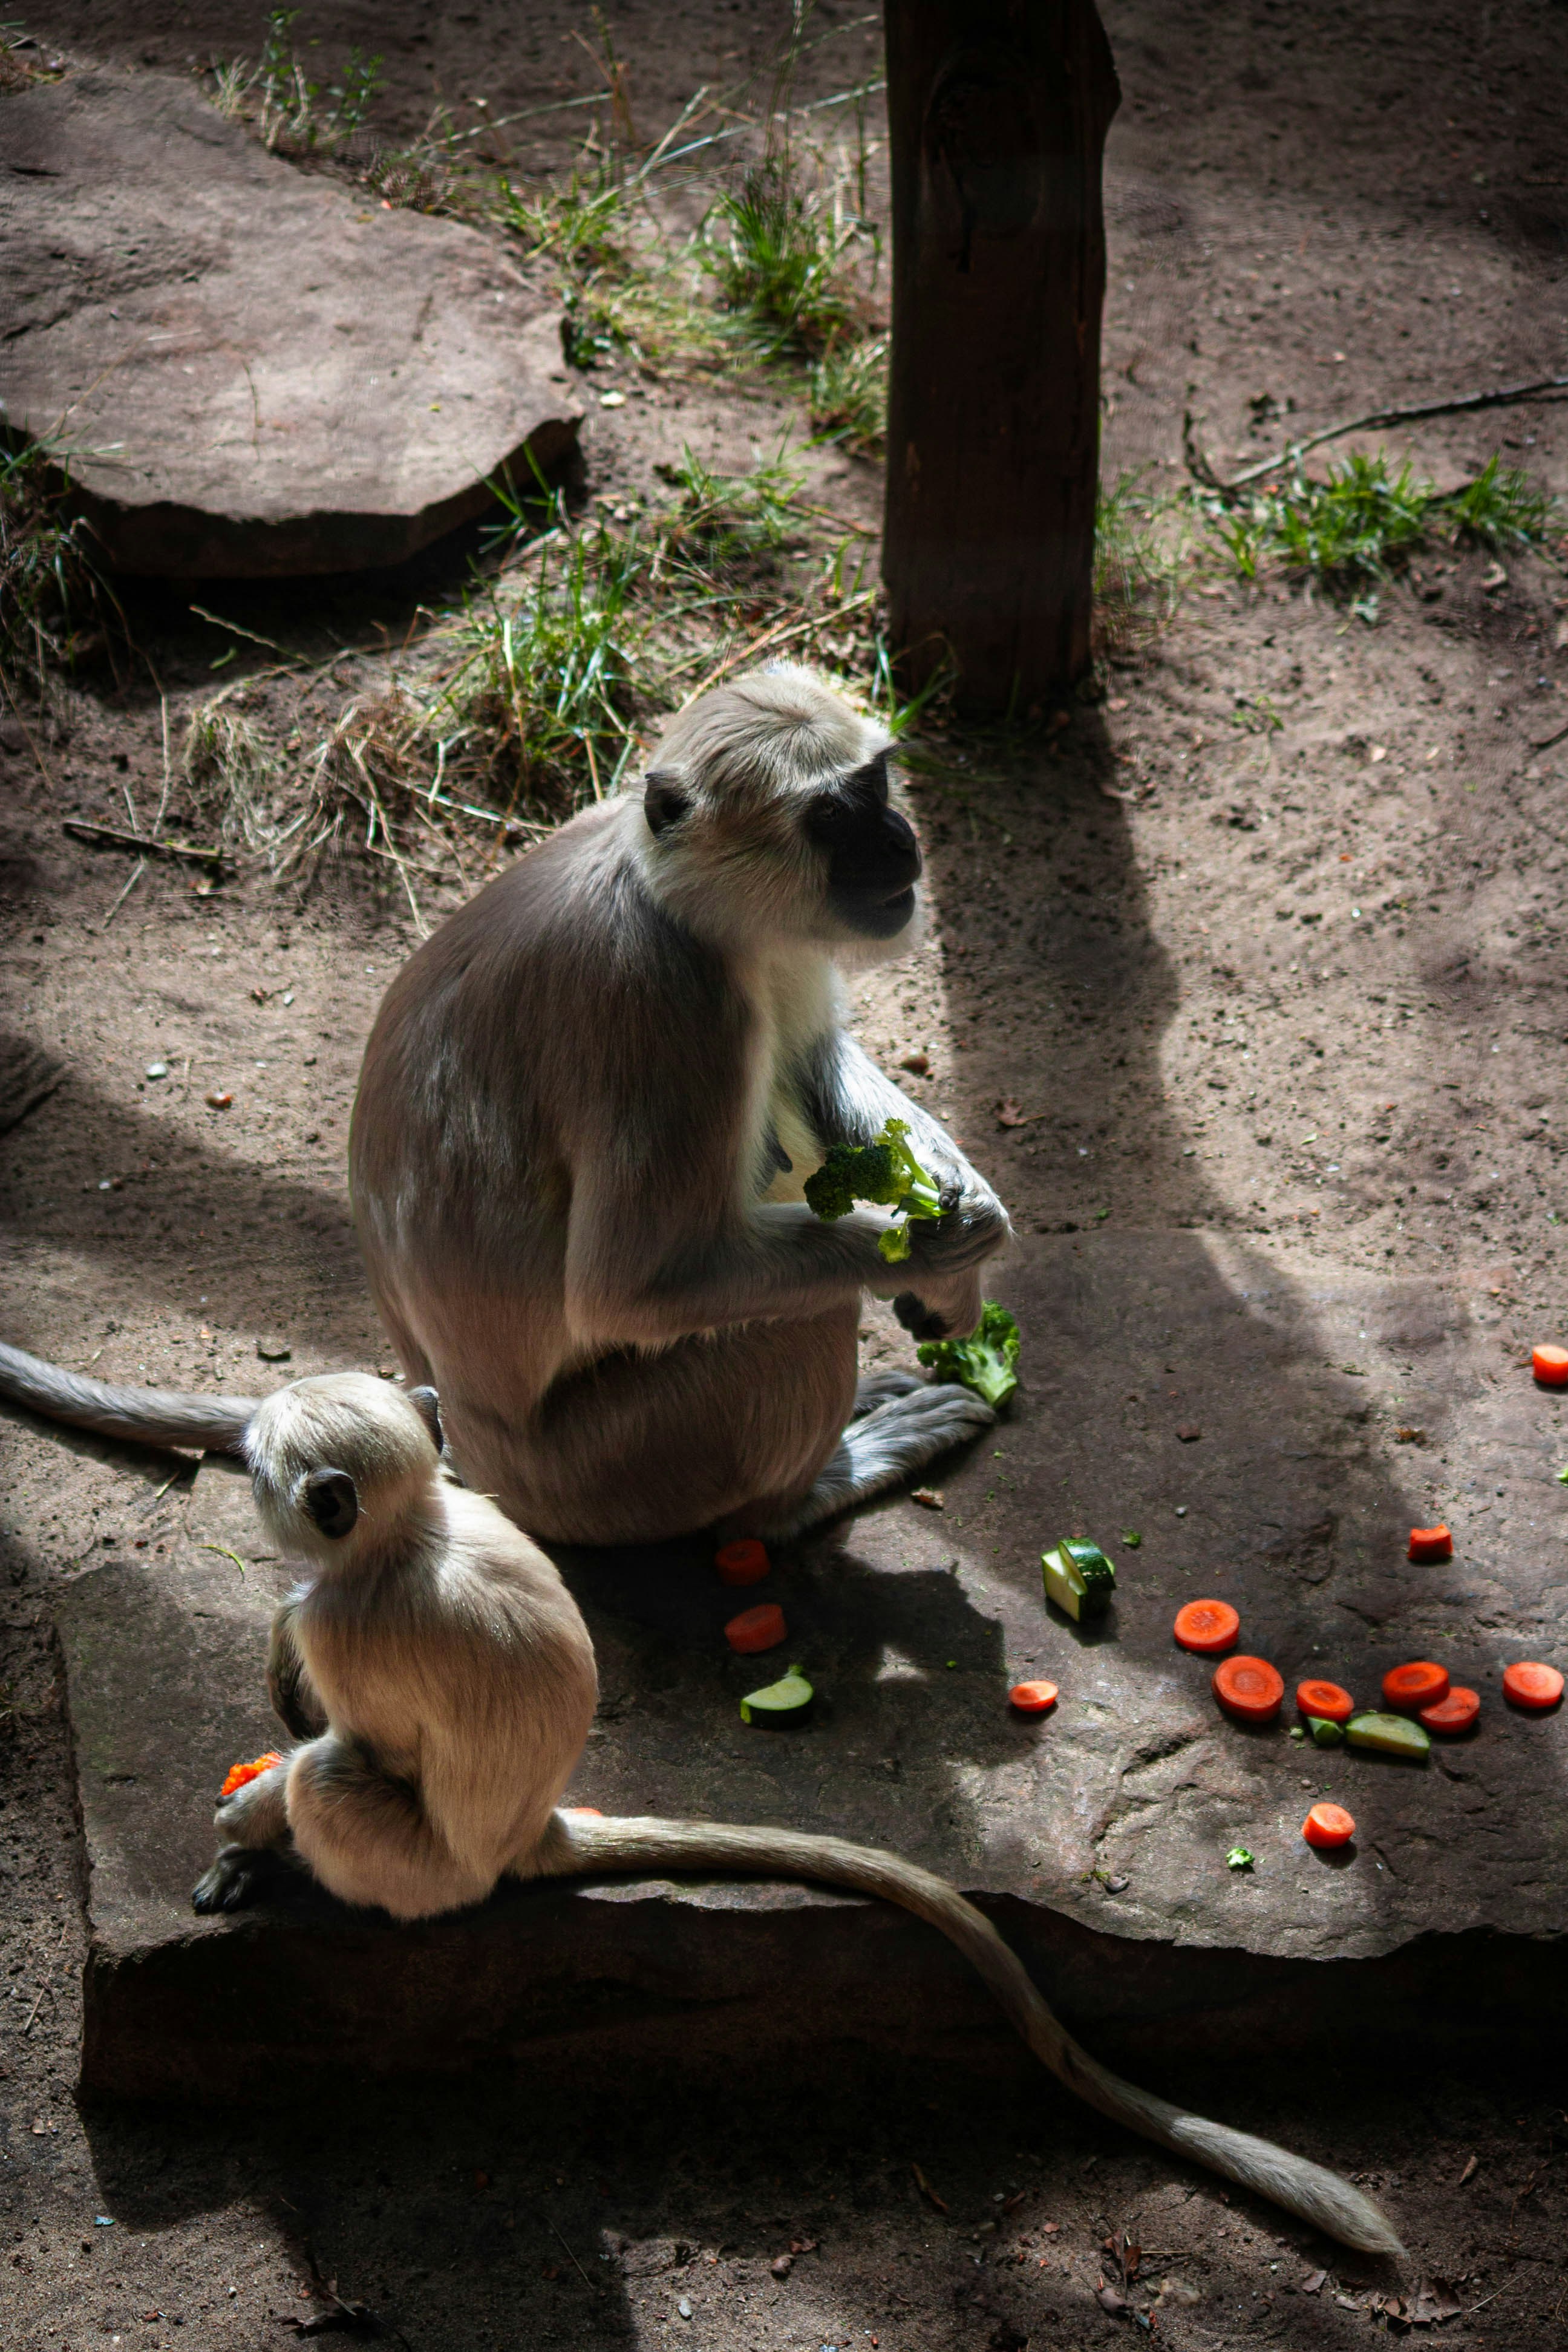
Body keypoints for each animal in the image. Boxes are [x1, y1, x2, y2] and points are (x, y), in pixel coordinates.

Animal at [186, 1369, 1401, 2260]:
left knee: (329, 1783)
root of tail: (531, 1836)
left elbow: (342, 1729)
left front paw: (248, 1820)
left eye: (257, 1468)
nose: (236, 1469)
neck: (412, 1533)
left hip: (430, 1873)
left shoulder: (350, 1622)